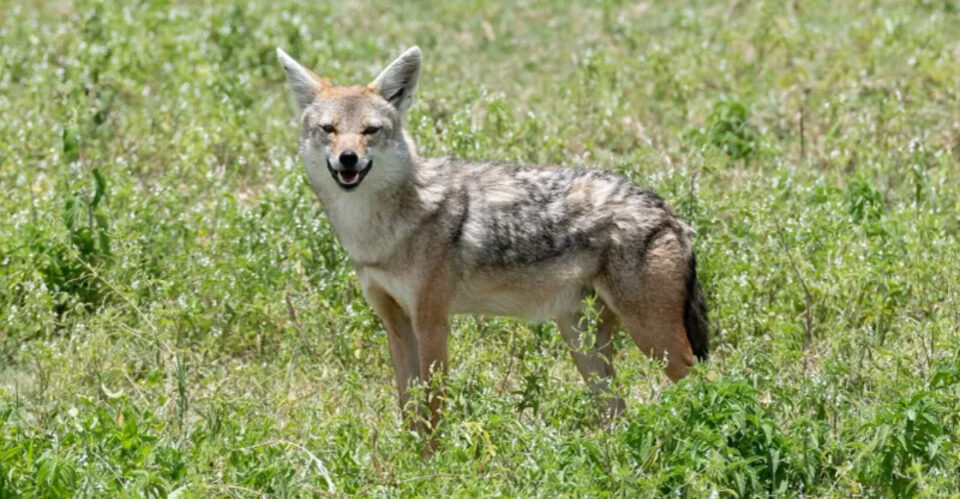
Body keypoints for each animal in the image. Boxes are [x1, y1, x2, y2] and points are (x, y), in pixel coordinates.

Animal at [277, 46, 708, 435]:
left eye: (370, 130)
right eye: (329, 130)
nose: (348, 158)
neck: (379, 233)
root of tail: (670, 212)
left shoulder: (432, 322)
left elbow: (433, 407)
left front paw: (434, 463)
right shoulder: (395, 323)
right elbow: (409, 408)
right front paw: (409, 460)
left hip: (653, 340)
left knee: (708, 384)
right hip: (584, 344)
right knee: (617, 413)